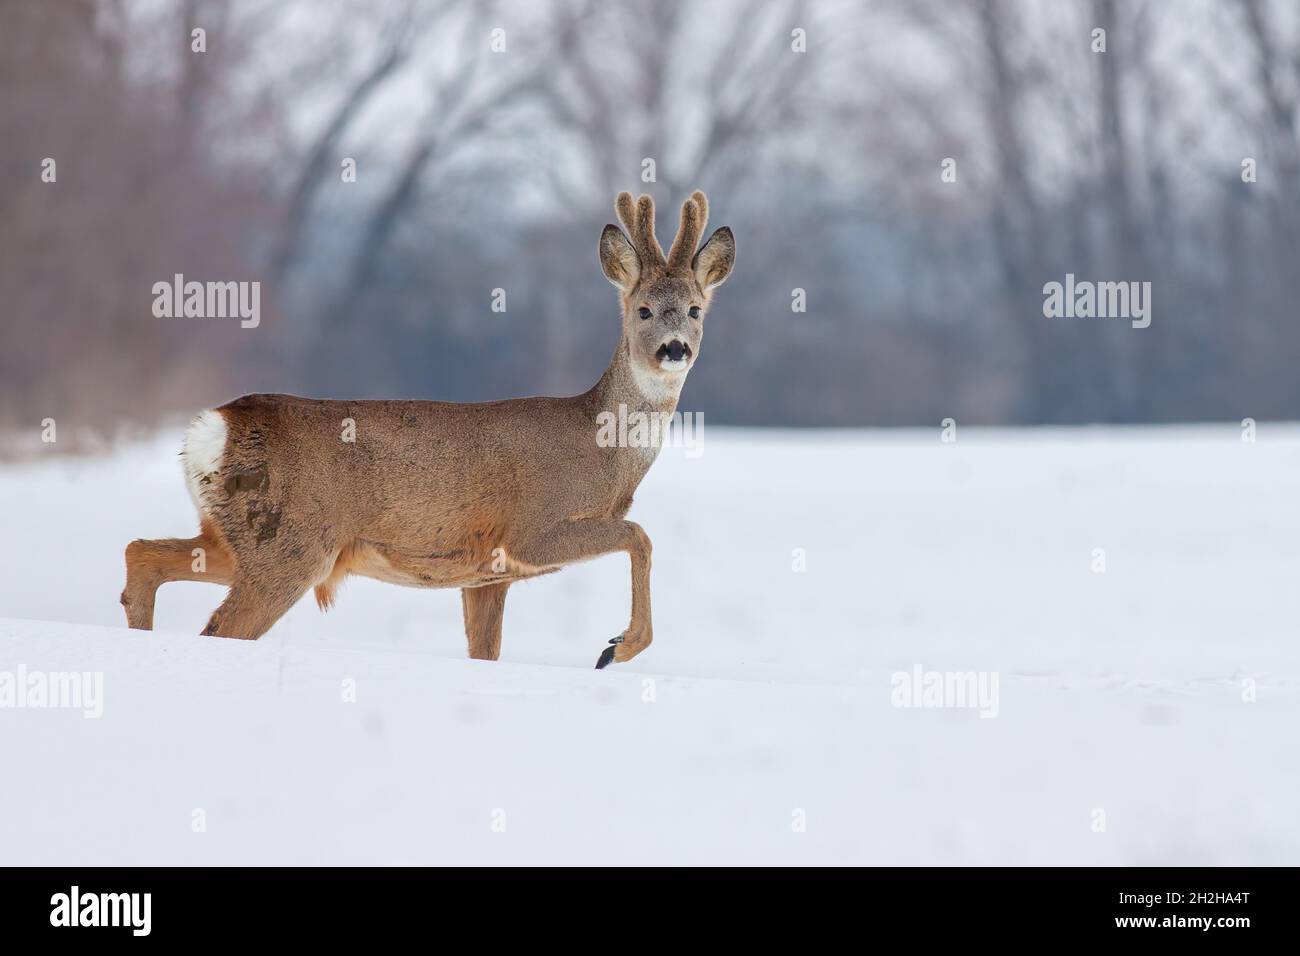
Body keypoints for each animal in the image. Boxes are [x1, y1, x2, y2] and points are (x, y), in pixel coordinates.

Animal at [120, 191, 735, 669]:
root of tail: (215, 426)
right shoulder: (531, 529)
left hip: (237, 537)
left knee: (140, 553)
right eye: (644, 309)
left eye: (695, 310)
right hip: (290, 544)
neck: (604, 455)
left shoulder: (488, 576)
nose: (674, 349)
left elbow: (485, 653)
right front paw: (617, 648)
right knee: (218, 626)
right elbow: (640, 534)